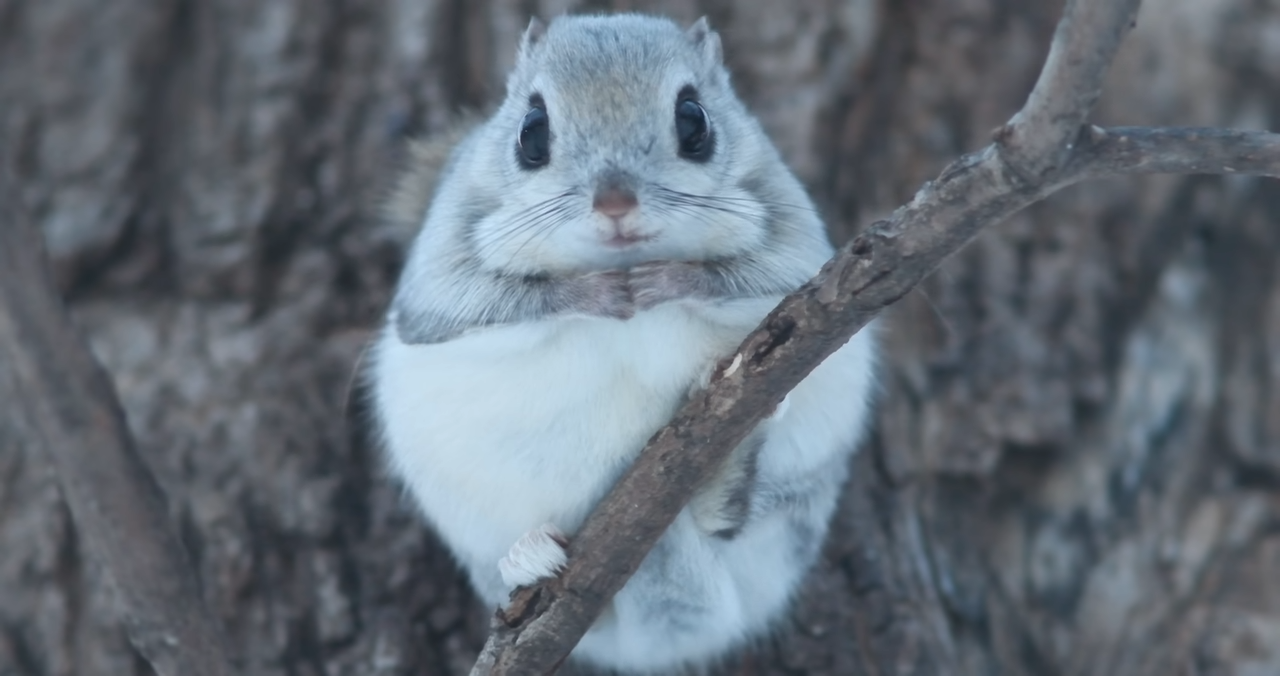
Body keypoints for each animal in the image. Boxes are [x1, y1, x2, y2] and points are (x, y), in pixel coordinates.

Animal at [369, 13, 877, 673]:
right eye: (531, 133)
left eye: (695, 121)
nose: (615, 202)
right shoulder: (440, 263)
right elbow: (453, 305)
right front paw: (598, 292)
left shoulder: (794, 230)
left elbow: (770, 270)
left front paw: (666, 280)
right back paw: (526, 556)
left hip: (796, 496)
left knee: (731, 521)